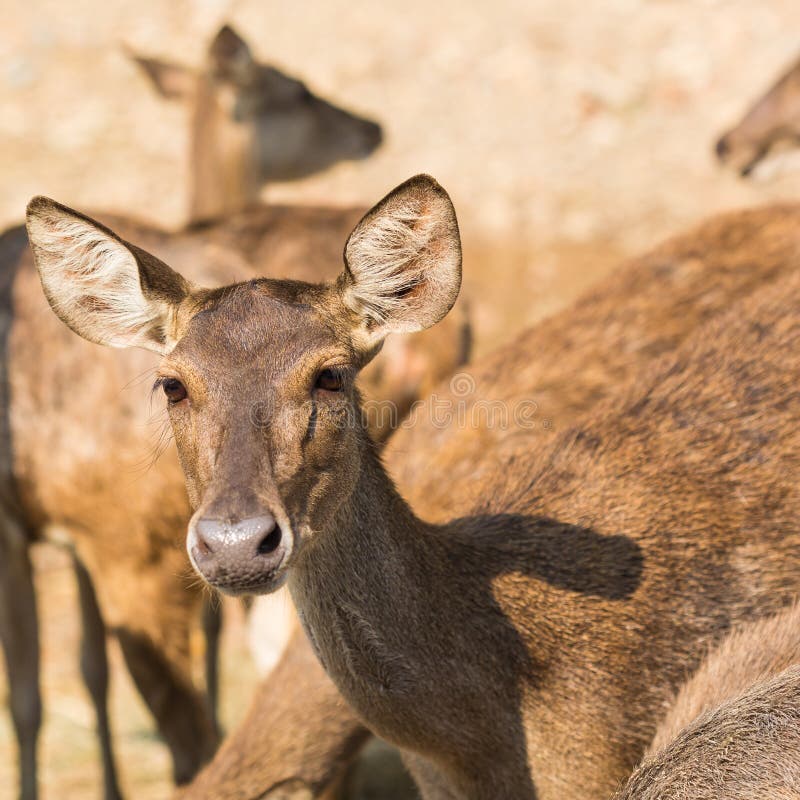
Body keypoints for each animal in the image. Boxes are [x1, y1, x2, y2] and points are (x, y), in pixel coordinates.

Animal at [0, 27, 469, 800]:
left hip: (138, 547)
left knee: (195, 729)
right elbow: (81, 671)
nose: (370, 128)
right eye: (173, 385)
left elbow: (34, 691)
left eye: (331, 374)